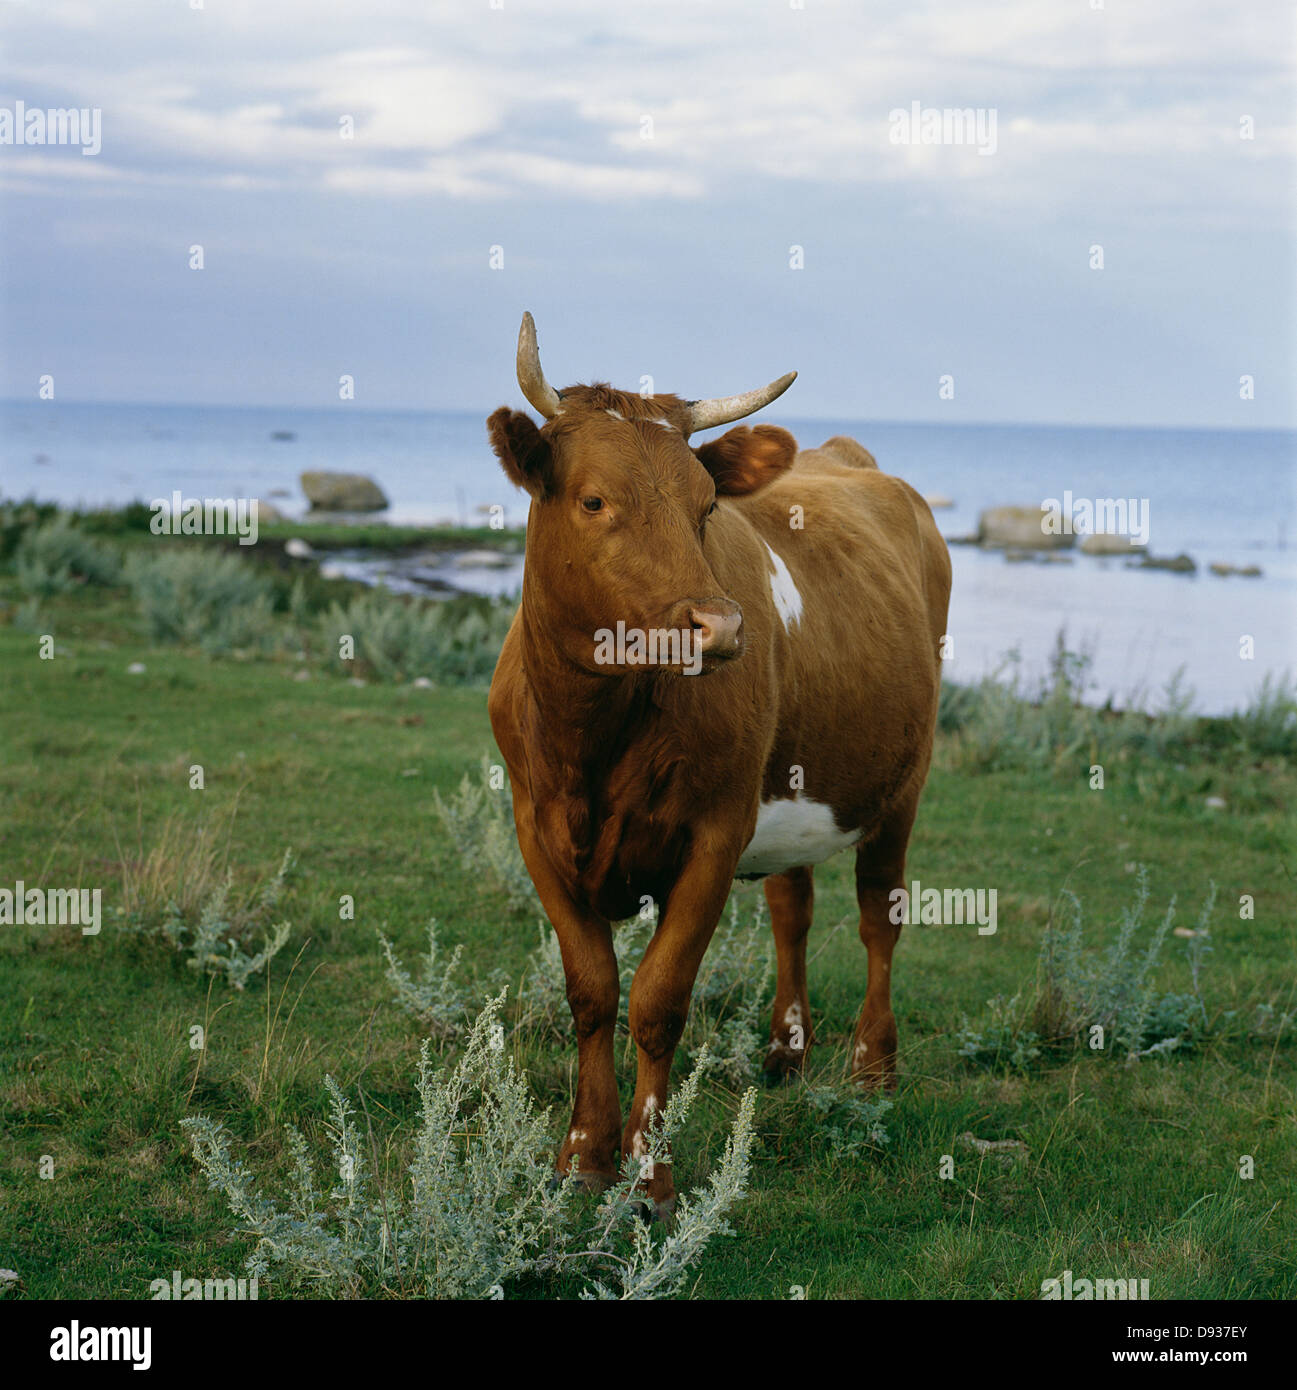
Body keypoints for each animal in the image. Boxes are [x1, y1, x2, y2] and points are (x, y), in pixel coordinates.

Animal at [487, 313, 951, 1219]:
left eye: (704, 506)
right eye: (593, 499)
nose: (720, 626)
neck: (594, 735)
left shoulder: (711, 834)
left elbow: (659, 1000)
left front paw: (649, 1177)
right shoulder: (536, 831)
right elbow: (591, 991)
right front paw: (581, 1157)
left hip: (903, 784)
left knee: (879, 916)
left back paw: (872, 1069)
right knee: (791, 909)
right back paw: (785, 1052)